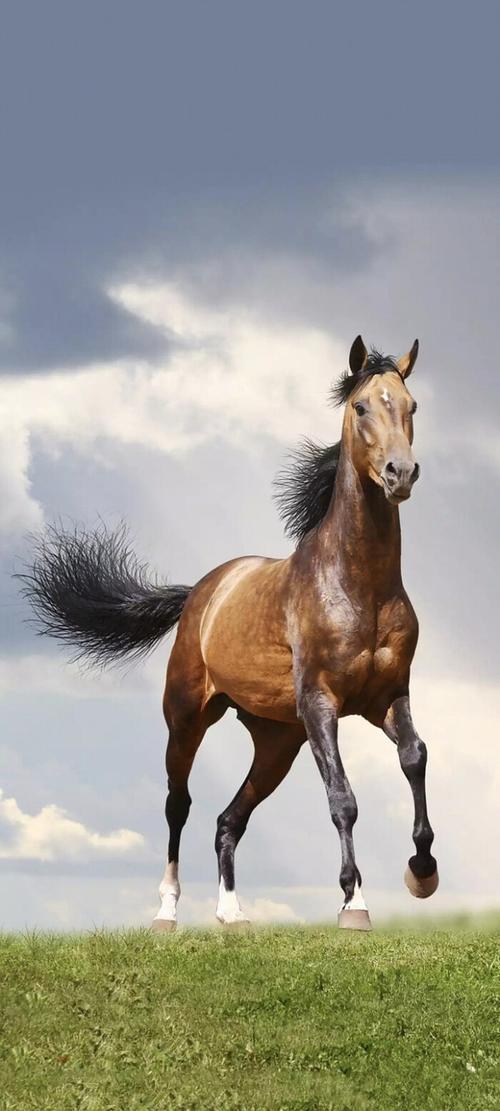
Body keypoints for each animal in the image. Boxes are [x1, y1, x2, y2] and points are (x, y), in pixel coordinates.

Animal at [21, 335, 438, 932]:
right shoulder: (321, 705)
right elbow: (343, 798)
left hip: (276, 742)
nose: (399, 473)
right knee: (179, 805)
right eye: (361, 407)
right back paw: (166, 913)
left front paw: (422, 872)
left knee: (228, 819)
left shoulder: (387, 696)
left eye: (411, 406)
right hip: (187, 718)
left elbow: (415, 757)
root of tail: (201, 591)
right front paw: (354, 903)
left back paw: (232, 915)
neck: (360, 586)